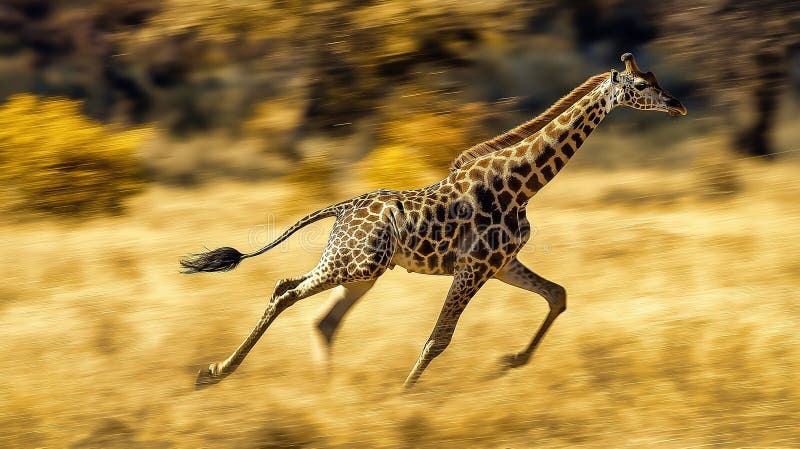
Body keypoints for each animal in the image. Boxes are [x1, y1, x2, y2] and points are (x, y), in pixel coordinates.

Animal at [182, 53, 686, 389]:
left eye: (655, 79)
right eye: (641, 86)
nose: (678, 105)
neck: (521, 184)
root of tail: (340, 209)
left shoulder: (500, 264)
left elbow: (557, 296)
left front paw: (511, 362)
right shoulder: (474, 267)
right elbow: (439, 337)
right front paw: (404, 395)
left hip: (363, 273)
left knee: (322, 320)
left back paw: (326, 391)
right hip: (353, 263)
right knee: (284, 291)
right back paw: (215, 372)